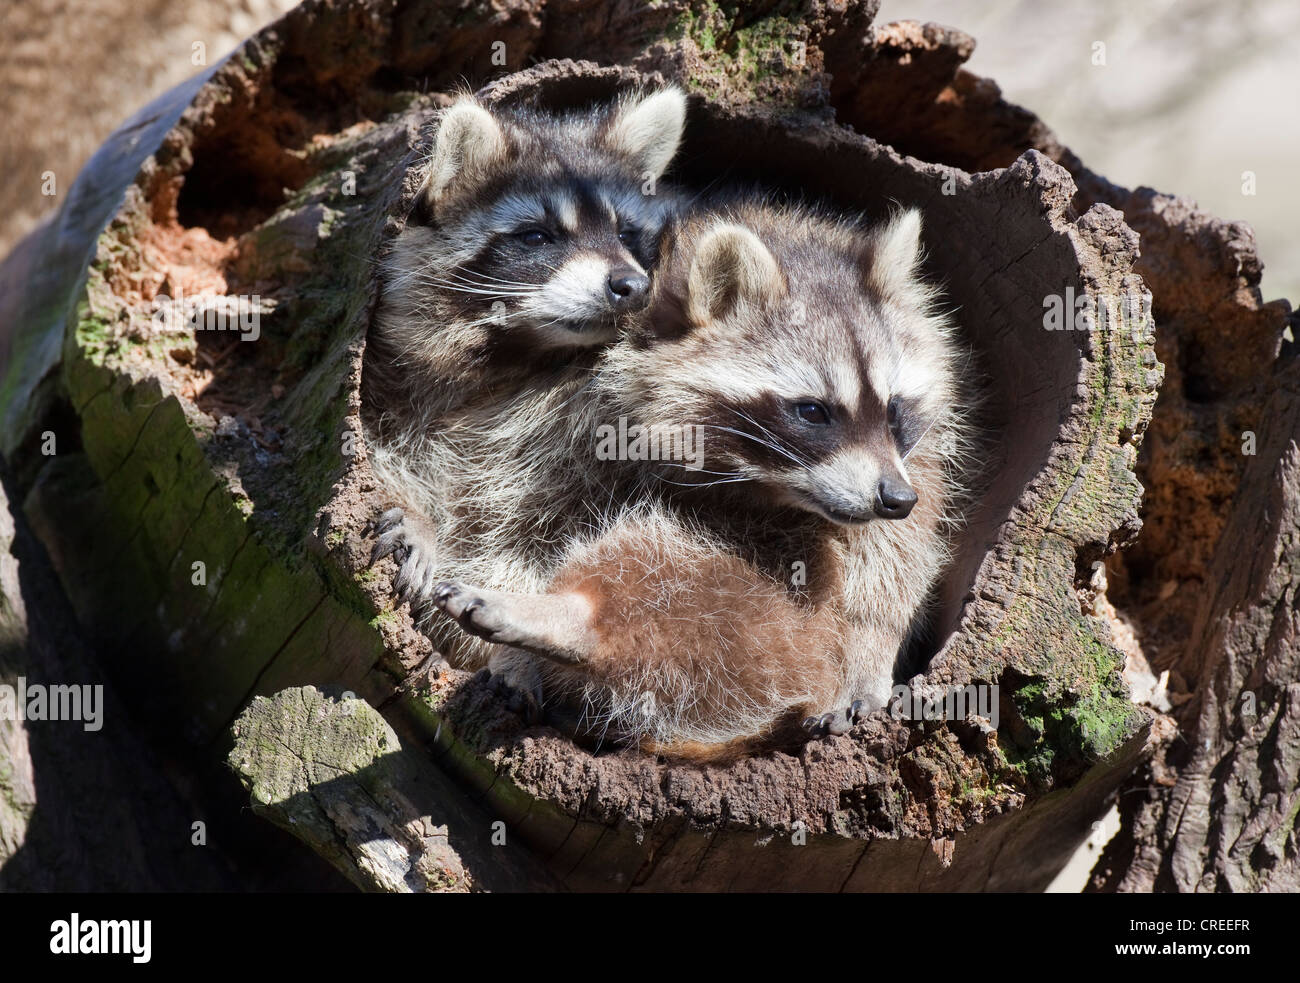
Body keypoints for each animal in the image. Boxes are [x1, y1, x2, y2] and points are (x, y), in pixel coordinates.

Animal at [426, 197, 974, 760]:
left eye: (893, 408)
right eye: (813, 411)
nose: (895, 498)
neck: (752, 483)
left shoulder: (916, 461)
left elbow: (890, 564)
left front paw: (871, 656)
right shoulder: (560, 404)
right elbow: (504, 517)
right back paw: (576, 618)